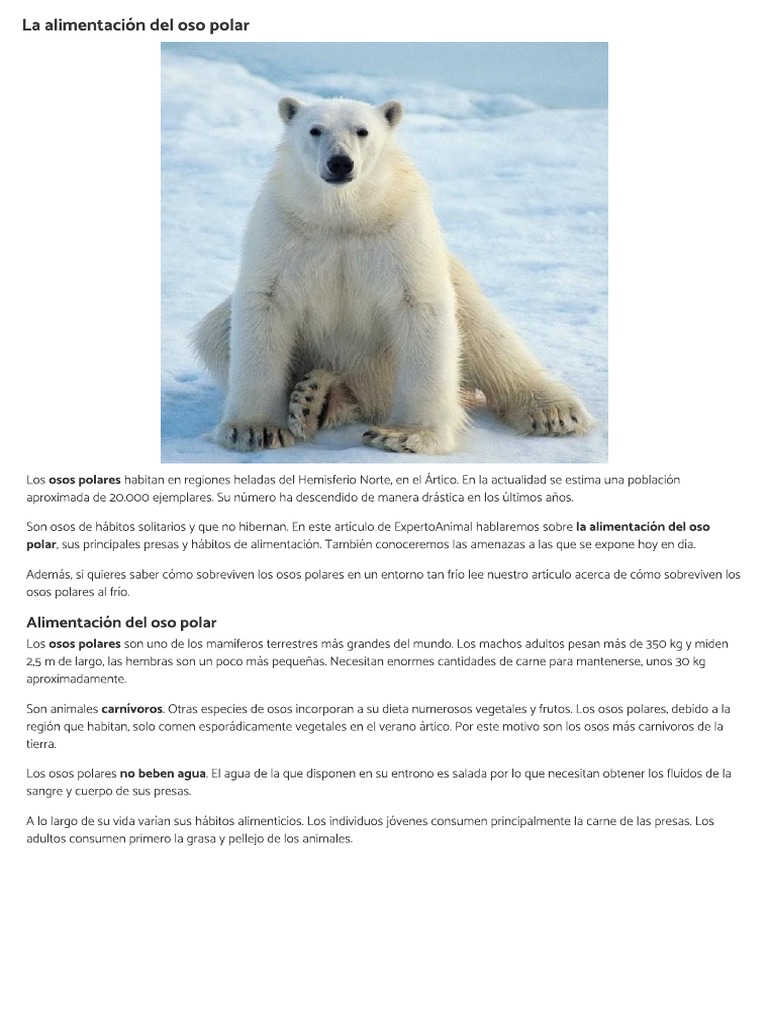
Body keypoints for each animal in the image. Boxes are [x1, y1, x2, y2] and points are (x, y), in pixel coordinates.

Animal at [192, 95, 594, 454]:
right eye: (315, 129)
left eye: (362, 130)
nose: (340, 162)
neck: (344, 217)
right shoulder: (284, 229)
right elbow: (265, 305)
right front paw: (255, 430)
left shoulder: (400, 231)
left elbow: (420, 307)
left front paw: (404, 435)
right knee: (215, 331)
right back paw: (315, 399)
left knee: (489, 337)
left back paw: (554, 411)